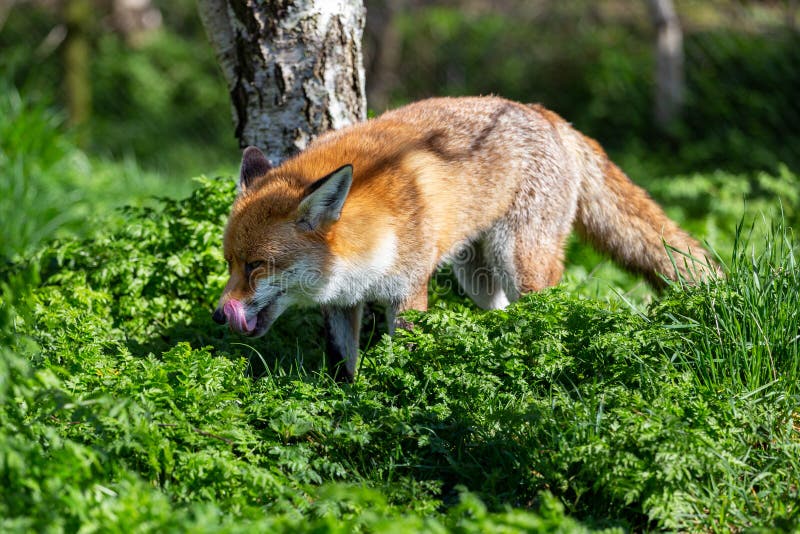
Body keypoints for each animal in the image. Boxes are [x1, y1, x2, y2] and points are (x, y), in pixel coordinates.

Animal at [211, 96, 717, 381]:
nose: (218, 315)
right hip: (476, 278)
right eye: (230, 263)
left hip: (520, 263)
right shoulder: (341, 303)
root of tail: (546, 114)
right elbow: (342, 367)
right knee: (501, 314)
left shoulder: (408, 291)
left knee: (547, 313)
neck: (365, 246)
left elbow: (405, 361)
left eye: (257, 266)